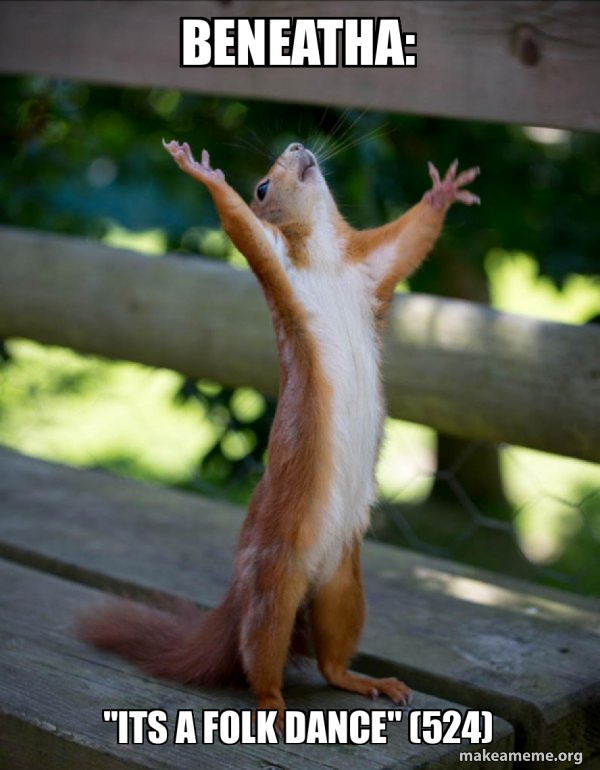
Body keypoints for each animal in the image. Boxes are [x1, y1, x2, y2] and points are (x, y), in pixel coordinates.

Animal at [78, 138, 479, 732]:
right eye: (262, 187)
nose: (296, 146)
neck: (326, 257)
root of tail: (239, 595)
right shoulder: (277, 265)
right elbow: (240, 226)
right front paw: (204, 174)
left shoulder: (371, 267)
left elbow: (409, 240)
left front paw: (443, 192)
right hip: (274, 584)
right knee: (259, 656)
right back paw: (272, 704)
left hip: (344, 587)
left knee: (331, 659)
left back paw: (367, 681)